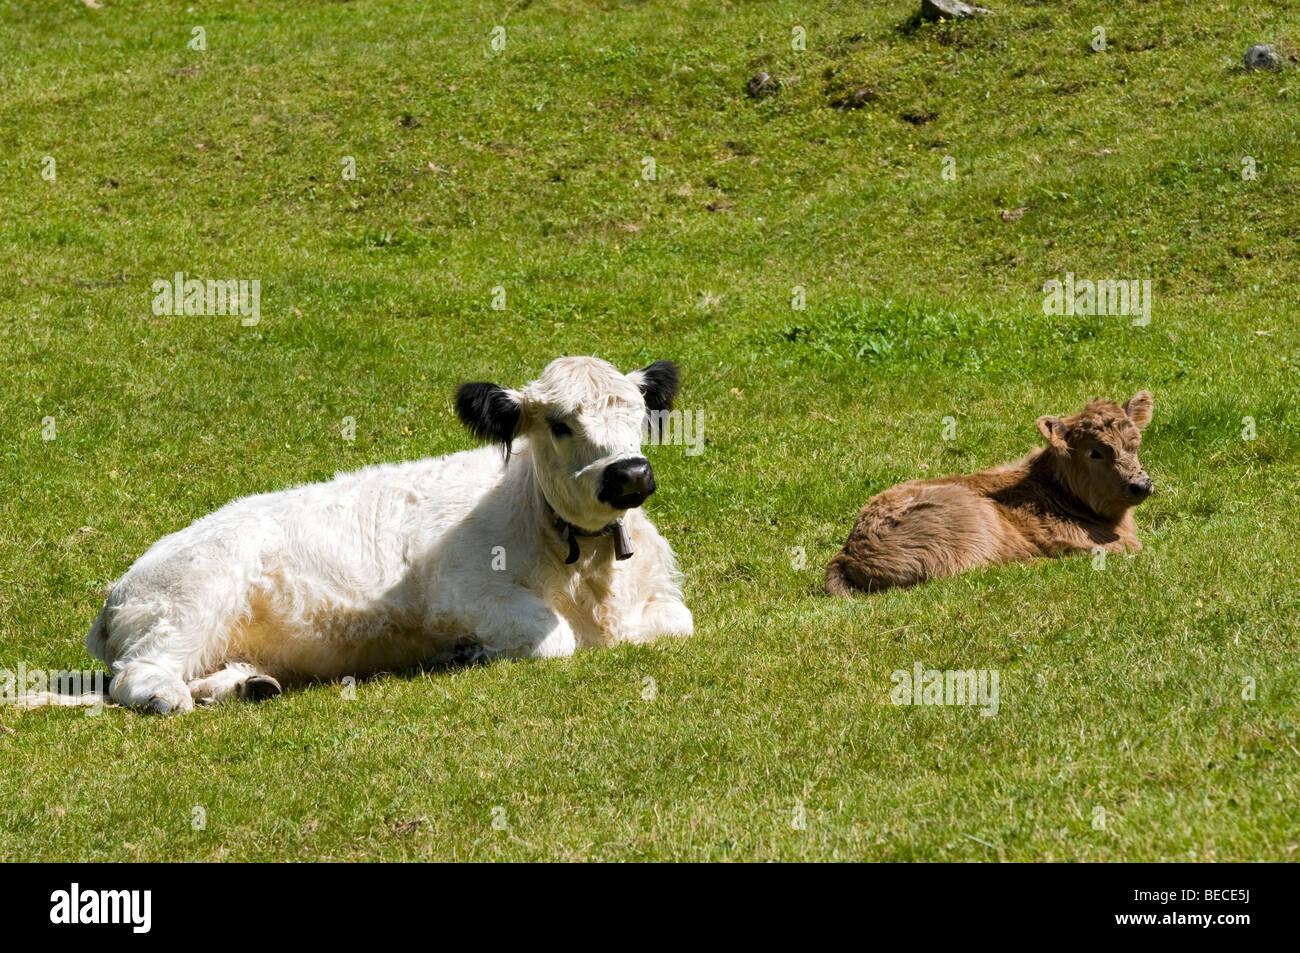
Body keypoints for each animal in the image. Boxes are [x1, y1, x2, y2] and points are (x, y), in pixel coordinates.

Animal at [36, 356, 693, 714]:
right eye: (559, 424)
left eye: (638, 414)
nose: (630, 473)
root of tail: (119, 591)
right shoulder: (459, 592)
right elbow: (554, 638)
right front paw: (467, 652)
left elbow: (677, 624)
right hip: (191, 598)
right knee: (139, 676)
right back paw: (165, 697)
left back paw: (250, 686)